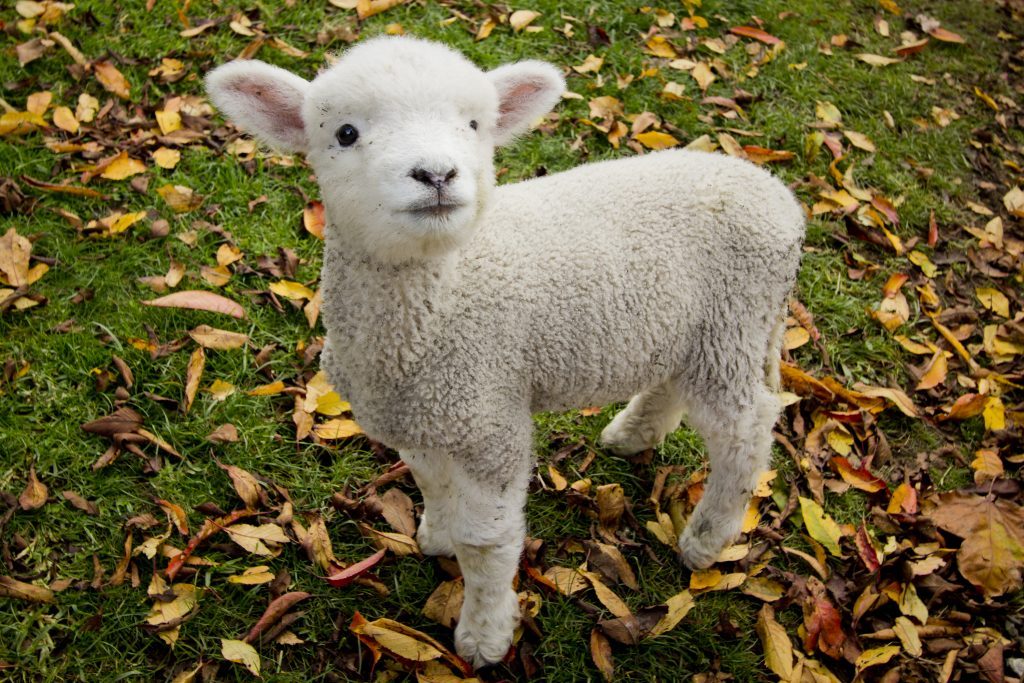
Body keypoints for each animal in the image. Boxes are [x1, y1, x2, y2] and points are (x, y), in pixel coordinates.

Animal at [206, 35, 805, 668]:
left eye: (475, 125)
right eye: (345, 133)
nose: (437, 173)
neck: (440, 304)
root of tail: (782, 201)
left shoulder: (489, 421)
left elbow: (487, 542)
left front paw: (484, 635)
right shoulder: (425, 416)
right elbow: (429, 481)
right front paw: (436, 534)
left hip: (733, 326)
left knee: (745, 431)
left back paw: (706, 539)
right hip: (692, 327)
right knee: (673, 383)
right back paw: (631, 435)